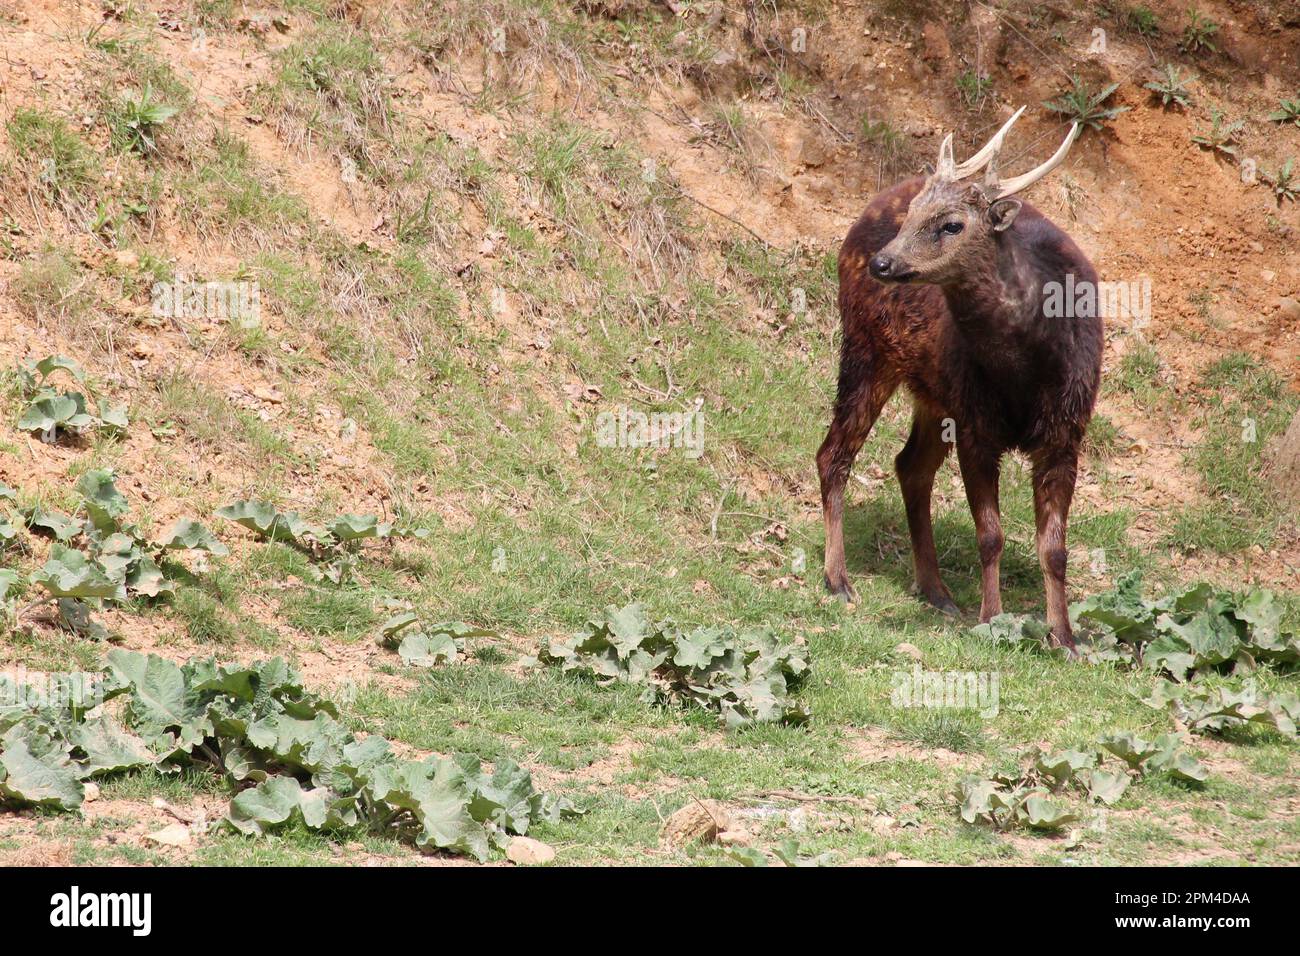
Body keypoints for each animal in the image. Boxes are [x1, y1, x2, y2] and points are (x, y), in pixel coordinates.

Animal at [816, 108, 1103, 653]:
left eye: (952, 224)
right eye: (913, 215)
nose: (883, 261)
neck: (1025, 371)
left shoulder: (1066, 433)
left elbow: (1055, 548)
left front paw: (1065, 639)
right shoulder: (976, 425)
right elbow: (990, 536)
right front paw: (991, 619)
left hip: (935, 391)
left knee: (909, 465)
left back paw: (936, 591)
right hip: (867, 347)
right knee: (834, 454)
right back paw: (838, 580)